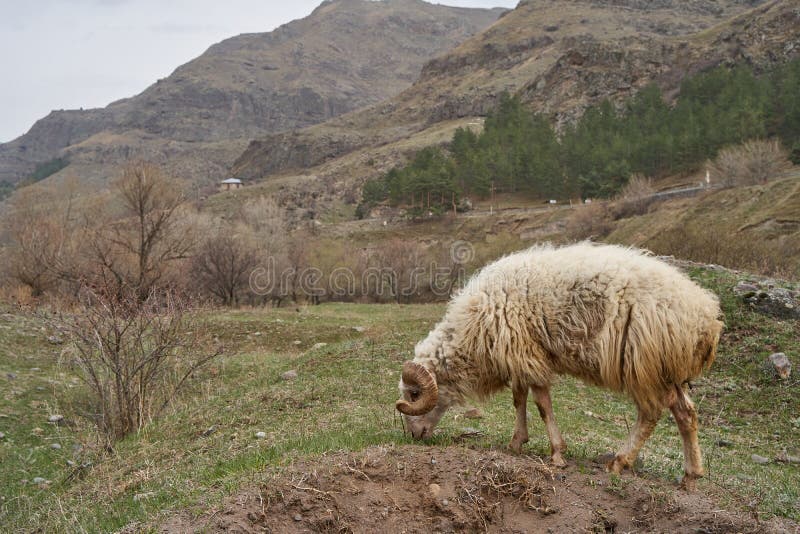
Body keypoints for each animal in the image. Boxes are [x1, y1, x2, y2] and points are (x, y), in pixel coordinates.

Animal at [395, 243, 723, 489]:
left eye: (414, 394)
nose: (413, 436)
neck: (471, 331)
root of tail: (707, 316)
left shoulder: (527, 353)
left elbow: (541, 404)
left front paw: (556, 453)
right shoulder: (520, 355)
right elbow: (519, 399)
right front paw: (517, 442)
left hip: (643, 365)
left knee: (651, 414)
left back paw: (619, 462)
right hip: (668, 370)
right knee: (686, 413)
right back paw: (691, 476)